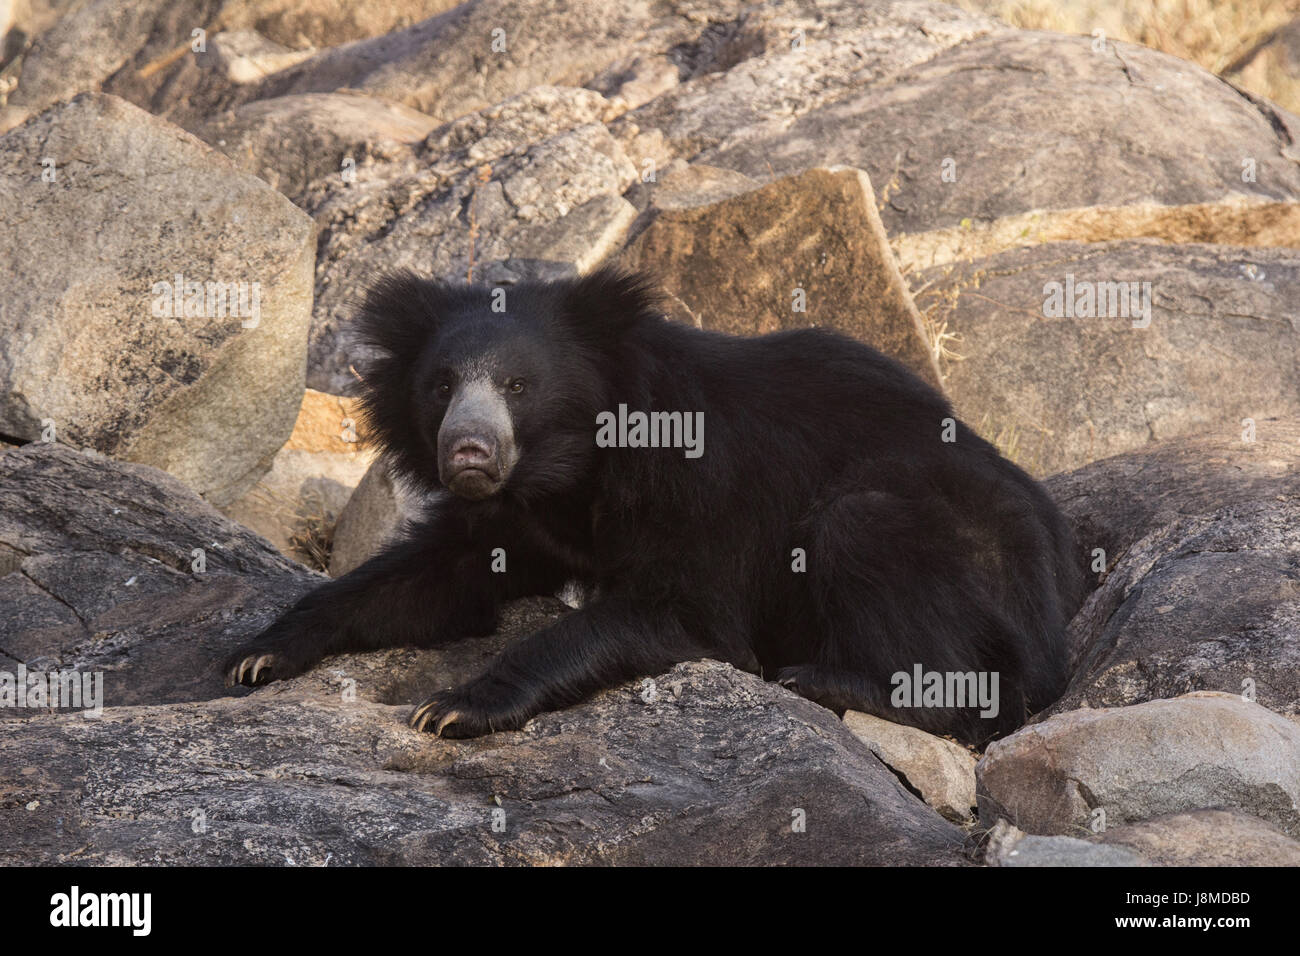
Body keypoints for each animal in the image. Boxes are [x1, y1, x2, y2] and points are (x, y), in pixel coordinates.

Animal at [224, 266, 1085, 743]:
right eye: (440, 385)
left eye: (517, 385)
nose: (468, 452)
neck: (567, 470)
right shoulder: (517, 519)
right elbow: (436, 574)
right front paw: (259, 653)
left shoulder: (701, 486)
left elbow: (684, 612)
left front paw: (454, 707)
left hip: (969, 556)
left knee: (875, 545)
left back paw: (827, 681)